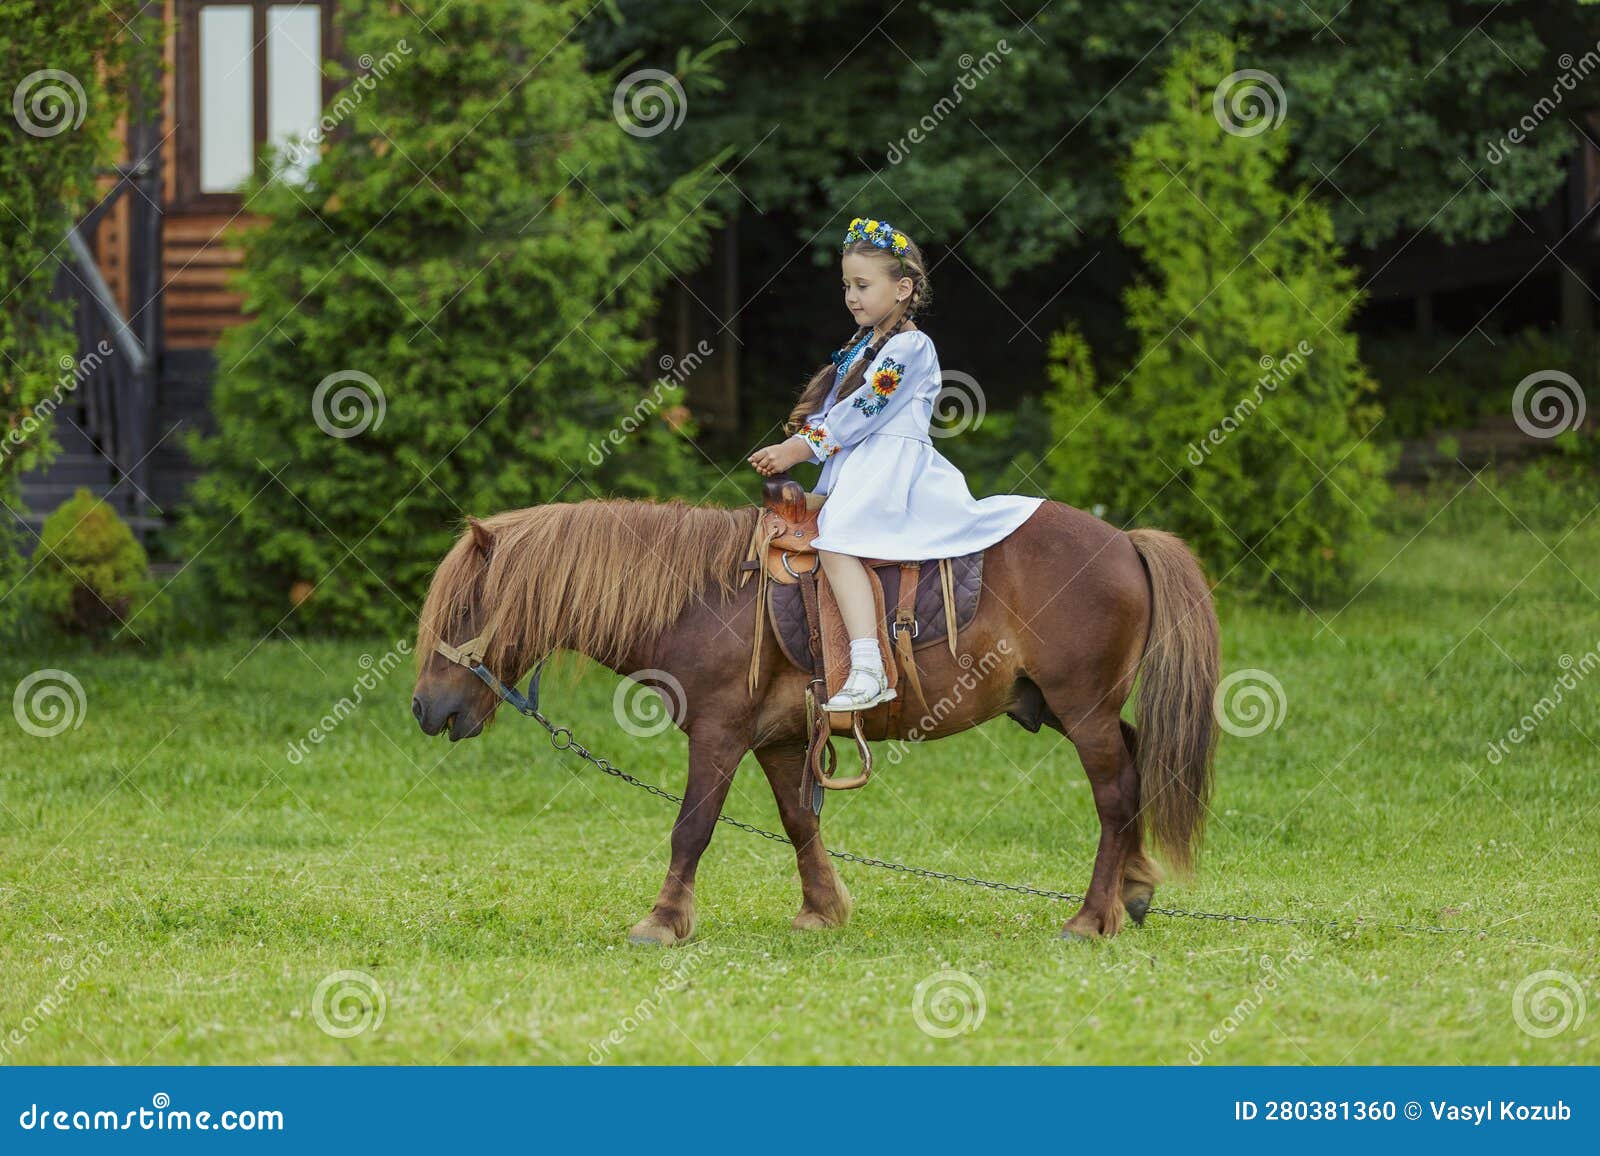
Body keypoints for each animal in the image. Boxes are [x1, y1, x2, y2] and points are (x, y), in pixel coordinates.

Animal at [410, 496, 1220, 944]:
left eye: (464, 609)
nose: (424, 708)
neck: (703, 597)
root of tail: (1126, 541)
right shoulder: (780, 738)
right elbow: (801, 822)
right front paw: (823, 910)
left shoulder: (720, 733)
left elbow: (691, 828)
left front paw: (663, 921)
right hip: (1059, 706)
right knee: (1135, 761)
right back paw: (1134, 888)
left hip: (1082, 710)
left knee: (1115, 795)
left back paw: (1090, 917)